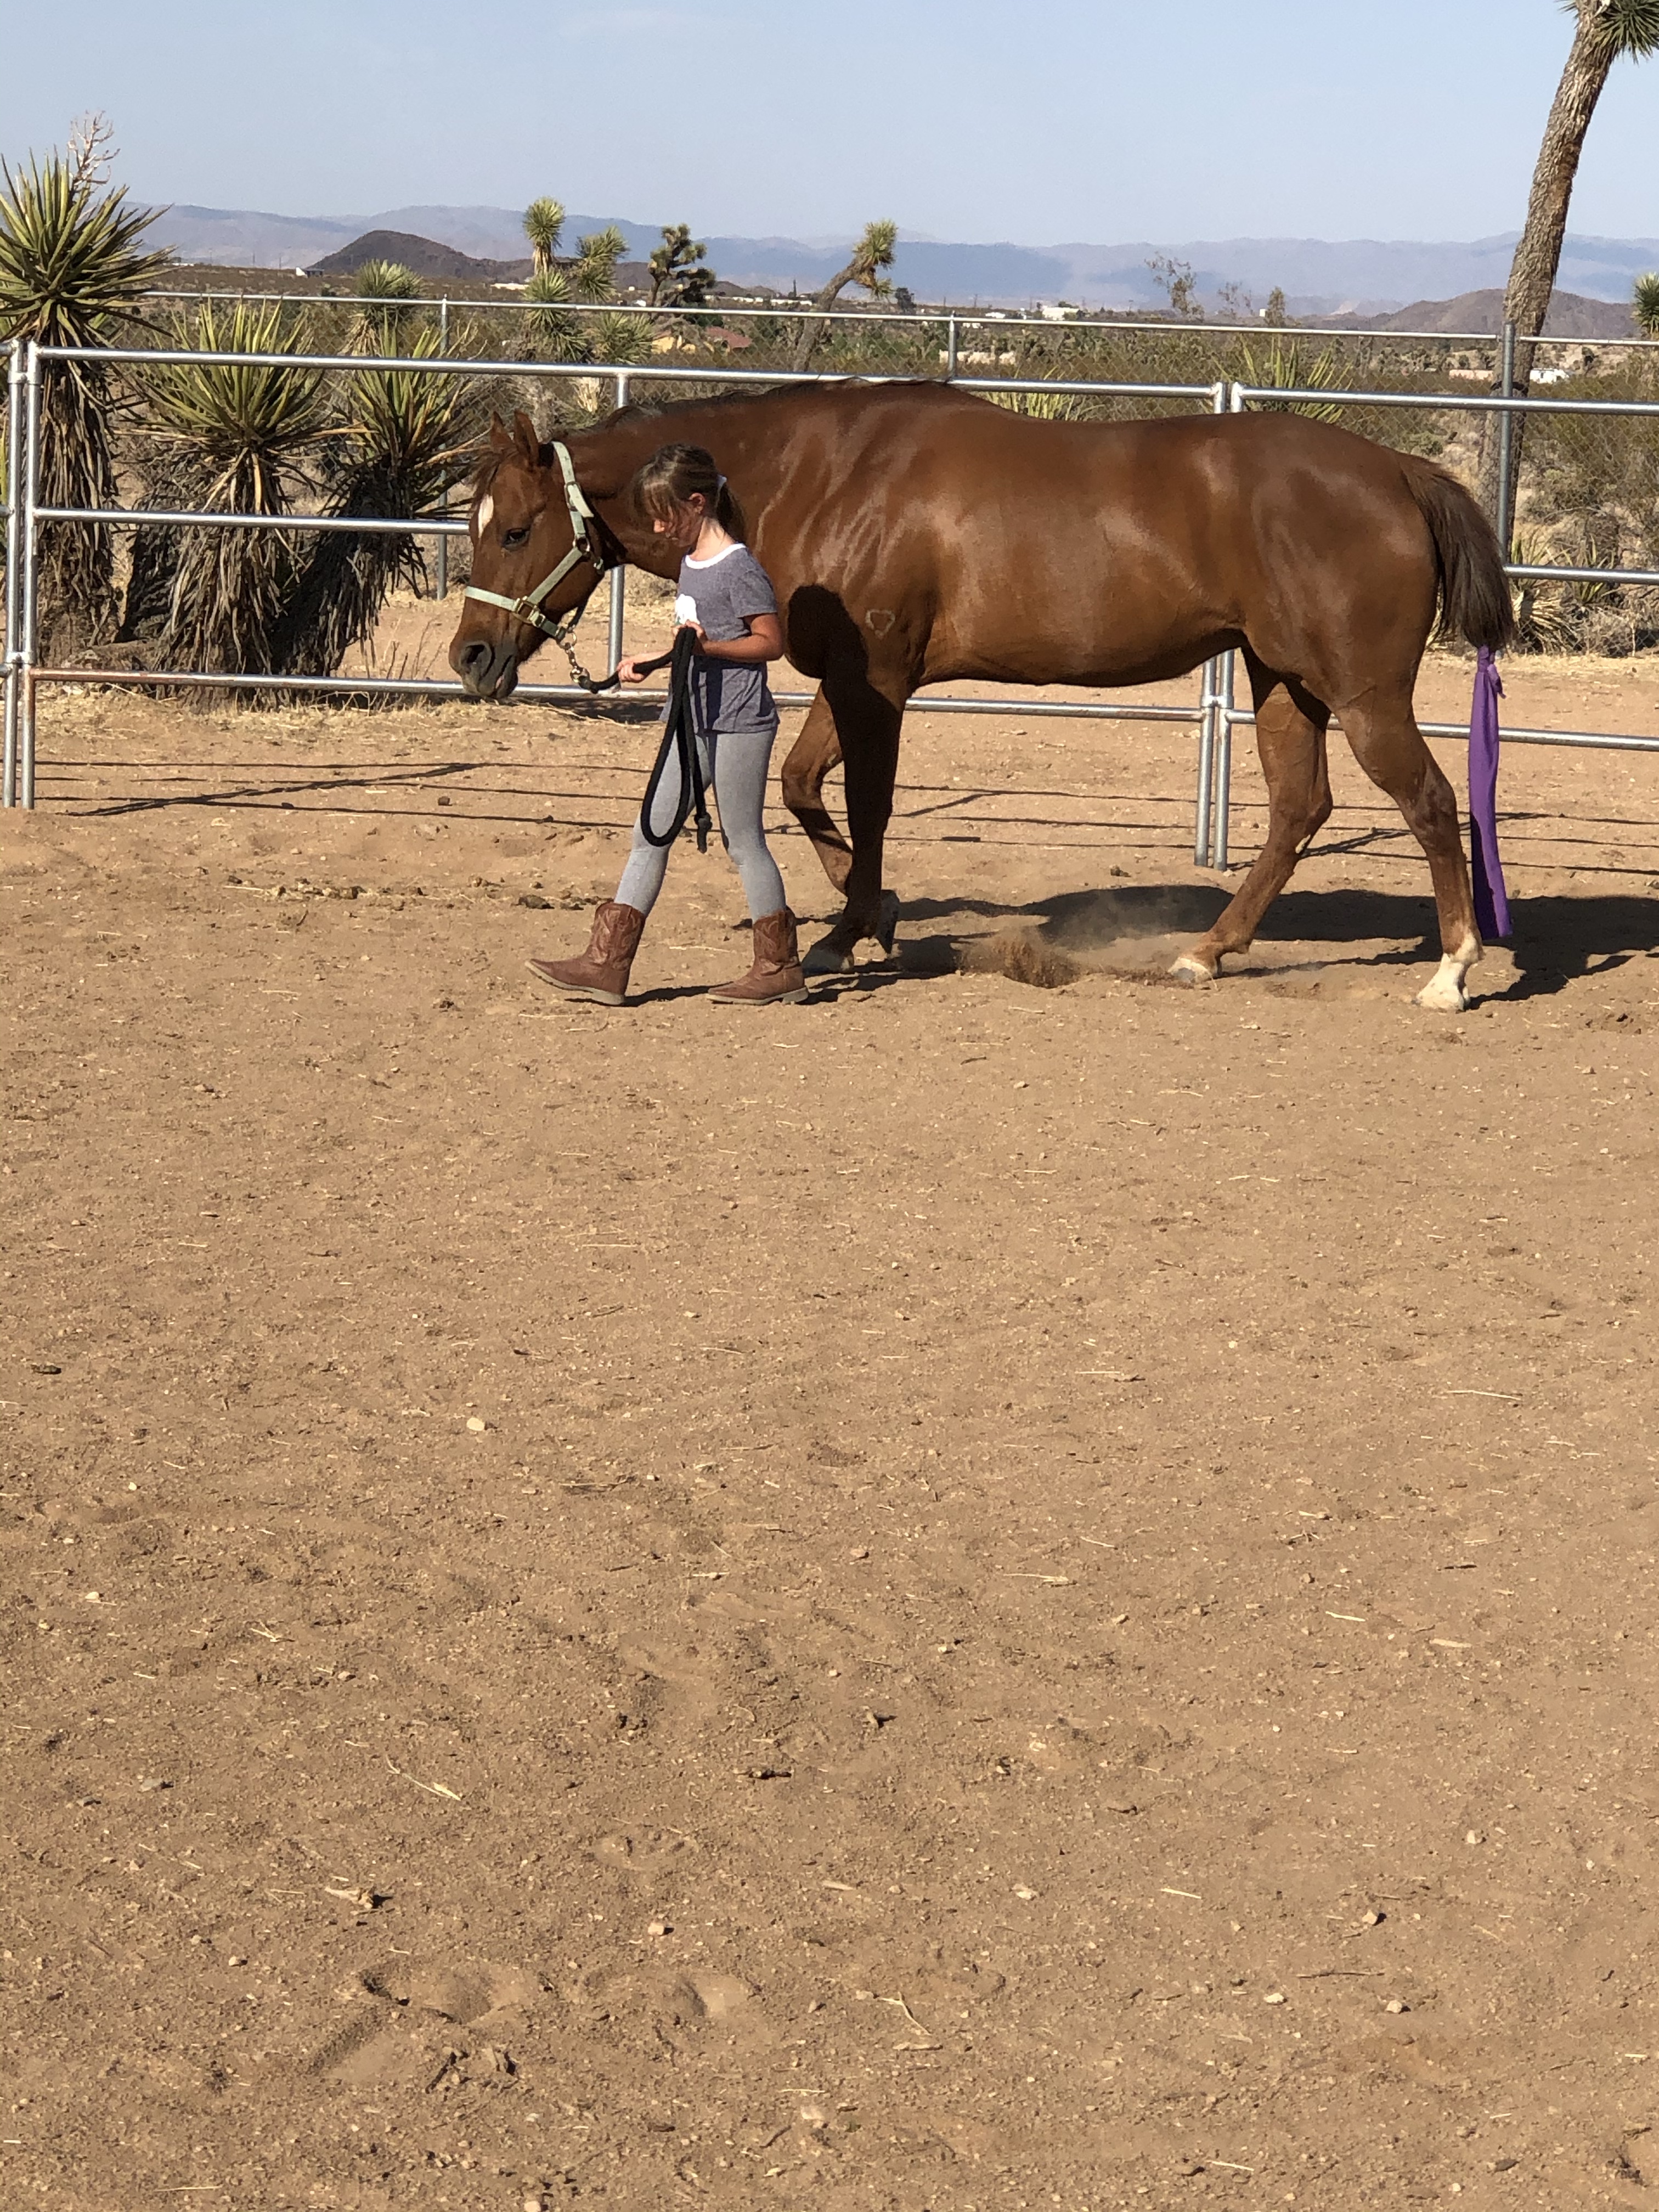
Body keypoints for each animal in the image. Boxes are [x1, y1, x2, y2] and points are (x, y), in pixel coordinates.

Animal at [449, 382, 1514, 1010]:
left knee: (1426, 803)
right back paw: (1205, 952)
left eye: (516, 529)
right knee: (1298, 809)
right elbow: (803, 786)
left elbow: (863, 803)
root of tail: (1398, 472)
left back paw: (1452, 971)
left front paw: (848, 930)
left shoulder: (875, 680)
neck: (824, 475)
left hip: (1362, 693)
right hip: (1282, 680)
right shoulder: (851, 681)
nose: (469, 655)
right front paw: (869, 916)